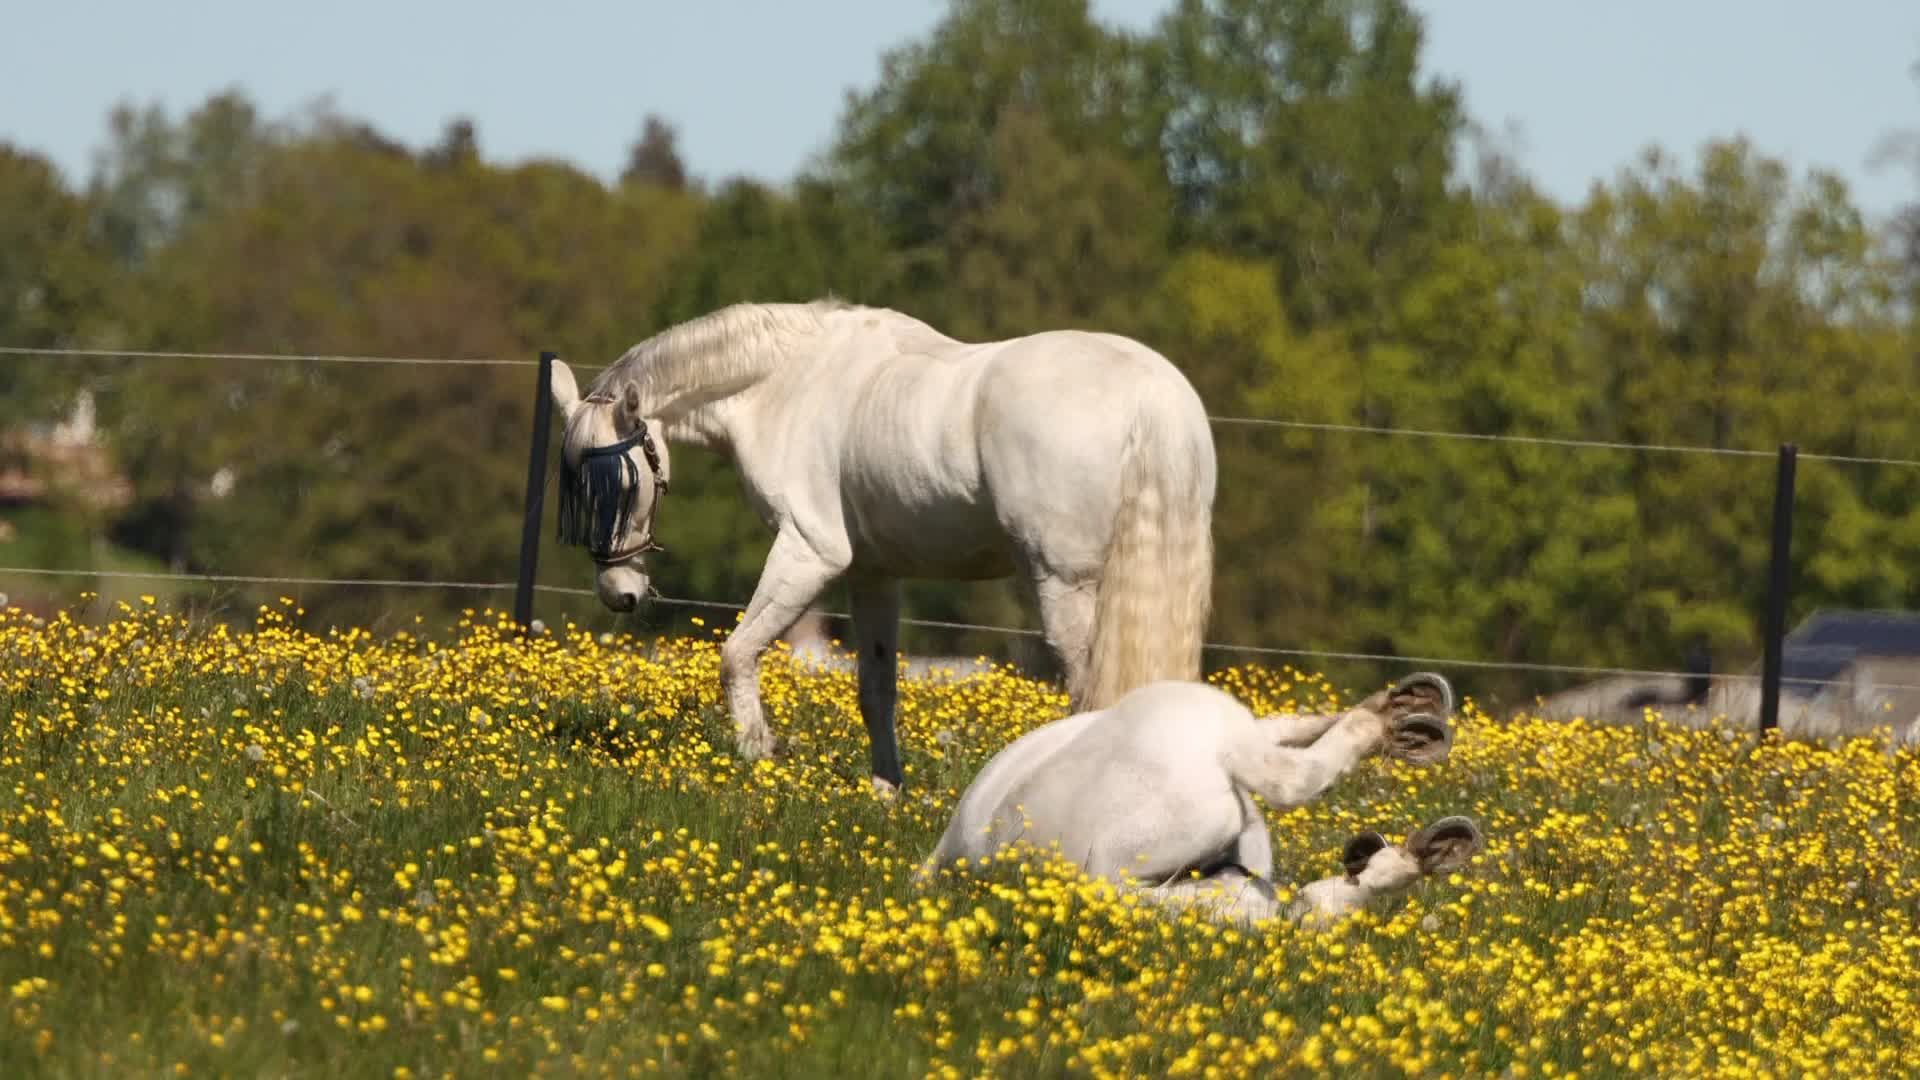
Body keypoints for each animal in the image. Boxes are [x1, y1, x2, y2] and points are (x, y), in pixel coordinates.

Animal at [546, 299, 1216, 792]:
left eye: (620, 482)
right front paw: (884, 794)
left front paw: (757, 756)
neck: (789, 382)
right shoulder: (873, 573)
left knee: (1087, 692)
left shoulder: (810, 553)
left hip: (1065, 584)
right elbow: (876, 689)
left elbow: (737, 654)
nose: (618, 593)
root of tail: (1152, 396)